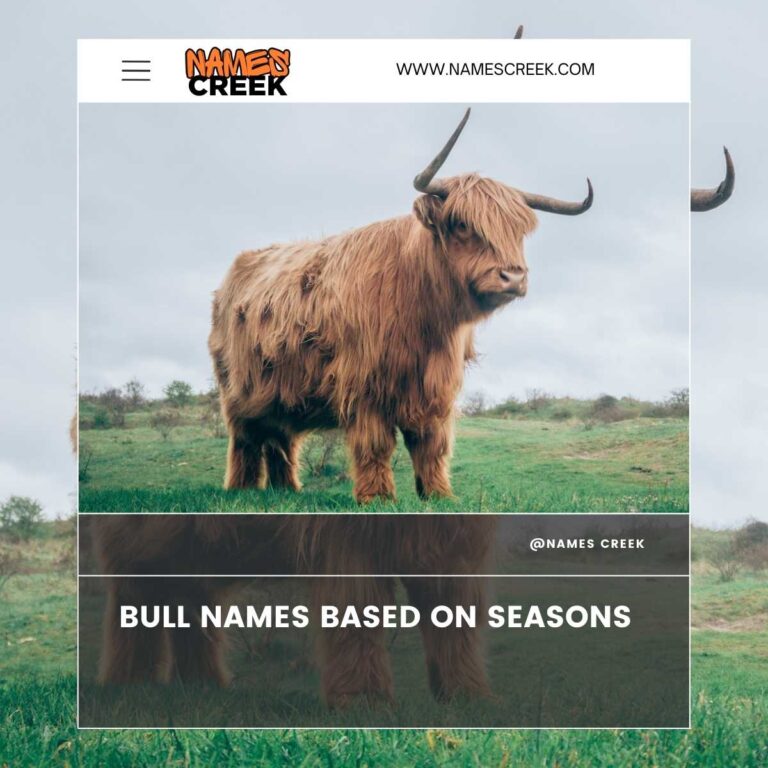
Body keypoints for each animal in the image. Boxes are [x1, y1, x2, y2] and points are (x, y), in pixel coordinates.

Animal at [208, 109, 595, 504]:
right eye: (461, 224)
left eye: (517, 231)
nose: (513, 277)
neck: (425, 318)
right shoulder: (364, 385)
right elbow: (375, 444)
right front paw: (377, 497)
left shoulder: (436, 388)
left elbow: (432, 445)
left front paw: (439, 495)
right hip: (238, 390)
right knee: (246, 439)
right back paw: (241, 489)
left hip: (281, 393)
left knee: (281, 439)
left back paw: (286, 490)